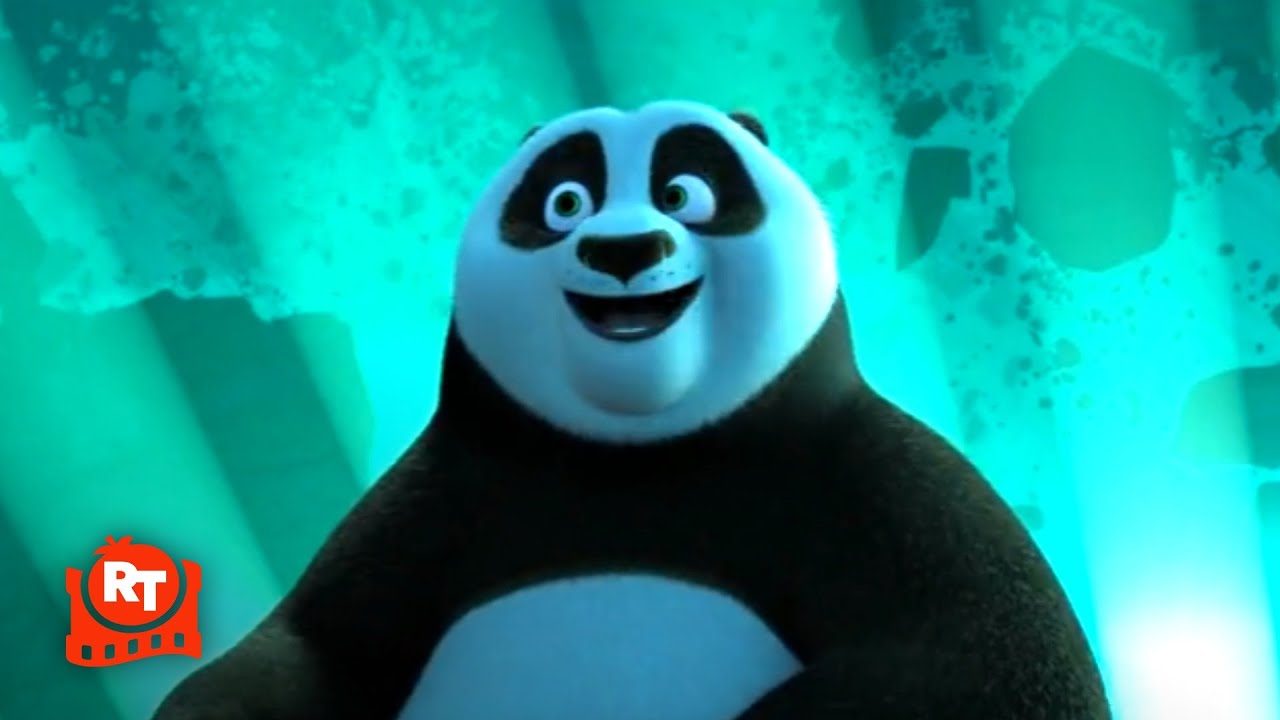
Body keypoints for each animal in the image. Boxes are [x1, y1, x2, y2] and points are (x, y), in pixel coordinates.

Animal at [153, 100, 1110, 720]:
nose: (622, 251)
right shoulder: (440, 501)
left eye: (685, 191)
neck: (637, 453)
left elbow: (983, 657)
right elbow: (309, 646)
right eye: (562, 202)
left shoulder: (872, 479)